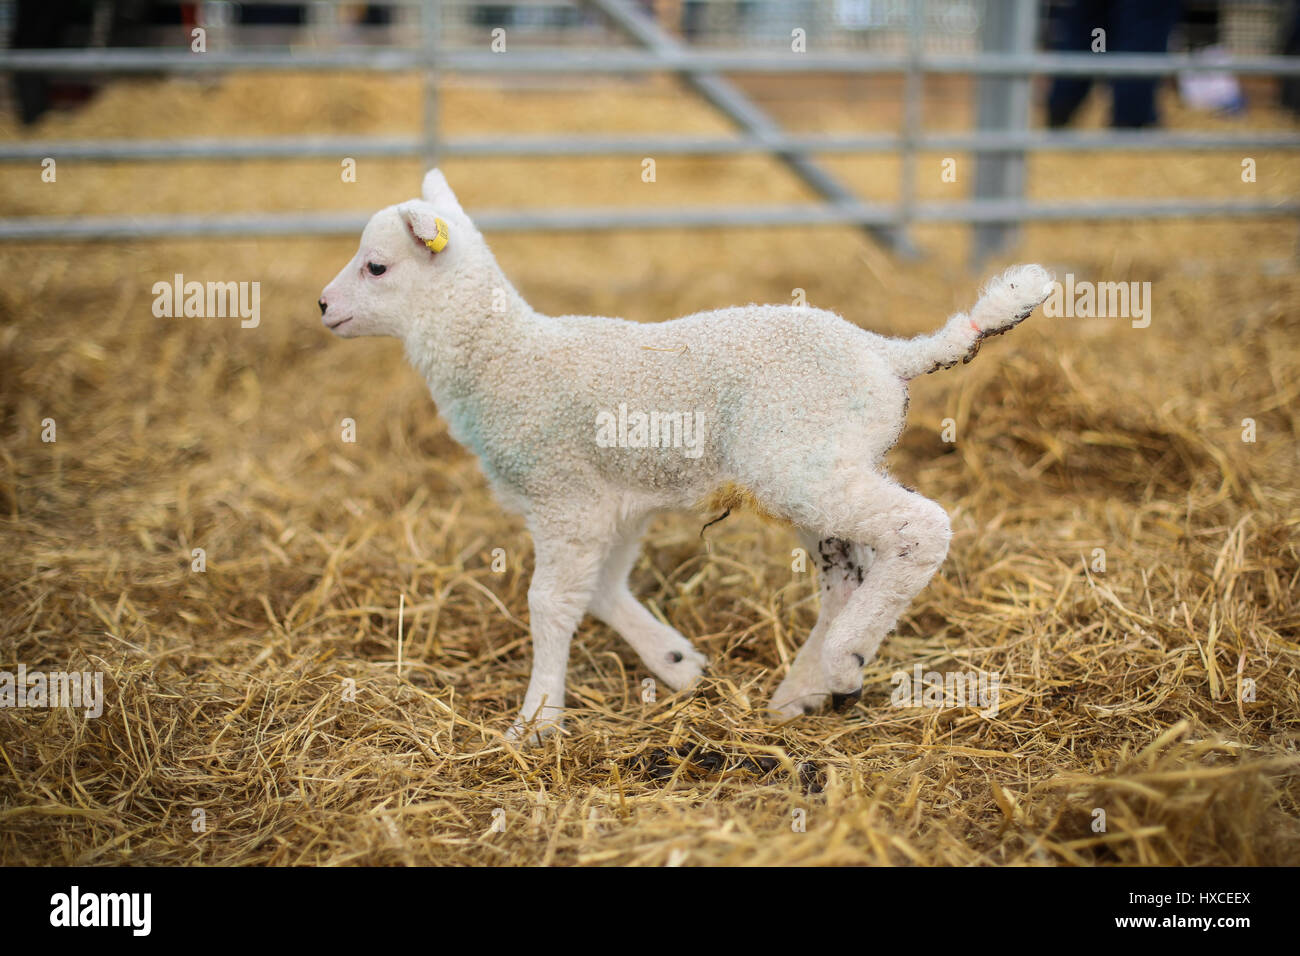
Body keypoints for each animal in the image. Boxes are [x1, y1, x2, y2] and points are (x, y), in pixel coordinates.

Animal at [319, 169, 1054, 744]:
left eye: (376, 266)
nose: (323, 305)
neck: (502, 357)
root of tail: (886, 350)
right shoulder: (612, 503)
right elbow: (603, 590)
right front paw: (676, 663)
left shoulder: (563, 496)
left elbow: (552, 603)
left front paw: (535, 721)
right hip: (827, 462)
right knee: (848, 576)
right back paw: (804, 690)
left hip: (799, 461)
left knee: (919, 529)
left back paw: (847, 658)